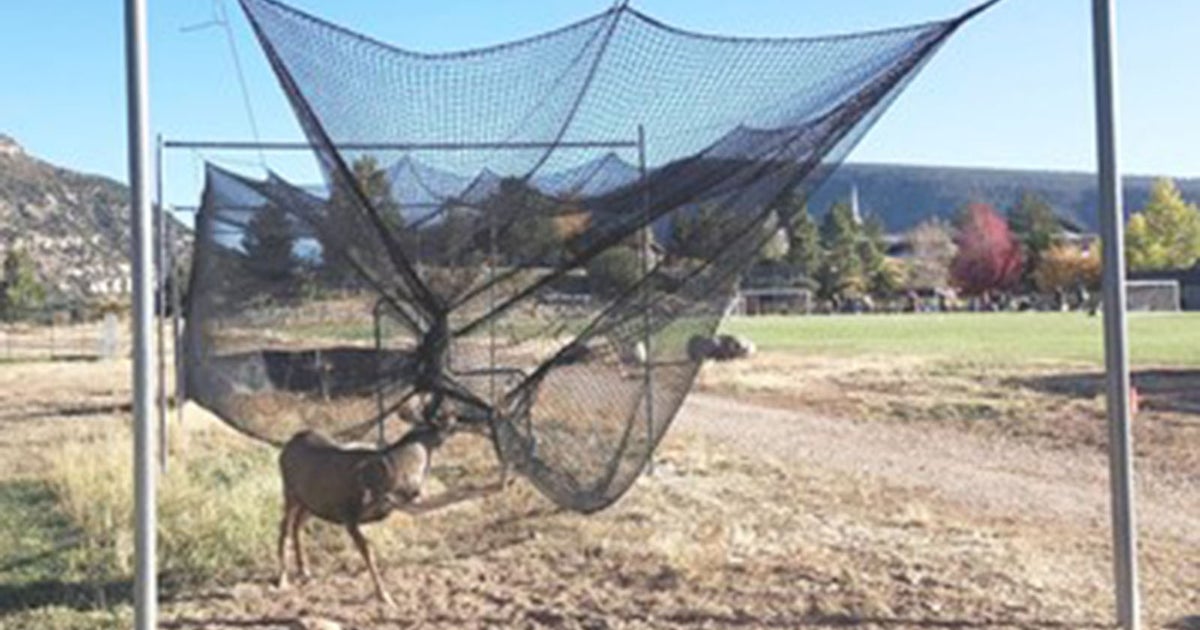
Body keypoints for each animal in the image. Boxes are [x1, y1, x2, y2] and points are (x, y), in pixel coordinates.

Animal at [276, 407, 505, 606]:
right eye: (442, 421)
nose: (456, 415)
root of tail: (287, 445)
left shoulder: (406, 502)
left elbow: (455, 495)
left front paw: (501, 483)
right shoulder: (348, 513)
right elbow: (368, 551)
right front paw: (384, 595)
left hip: (311, 502)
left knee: (296, 526)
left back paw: (304, 571)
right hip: (291, 492)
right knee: (284, 528)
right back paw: (283, 579)